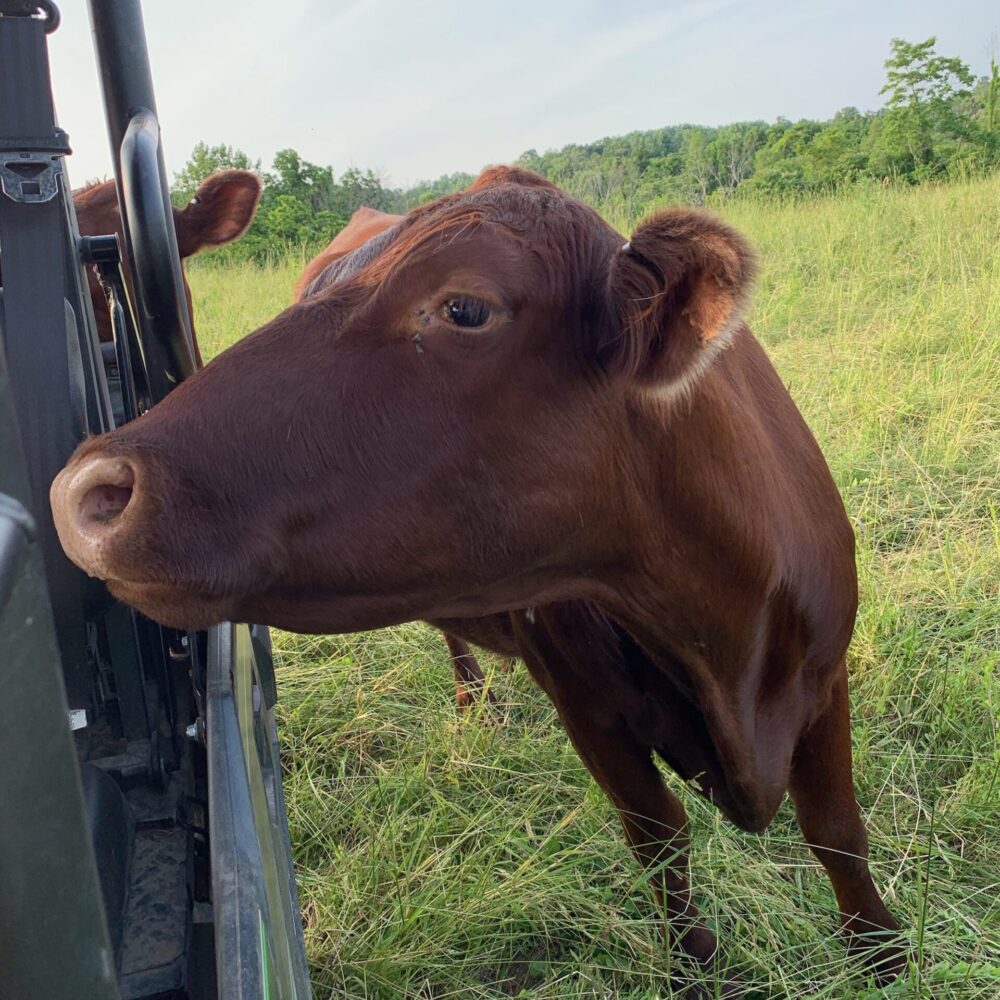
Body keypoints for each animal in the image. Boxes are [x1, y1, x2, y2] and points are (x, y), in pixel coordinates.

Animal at [50, 166, 905, 988]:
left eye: (465, 308)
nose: (88, 488)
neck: (721, 647)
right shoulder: (587, 707)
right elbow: (660, 841)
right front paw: (698, 971)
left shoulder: (823, 673)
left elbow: (837, 831)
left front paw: (881, 952)